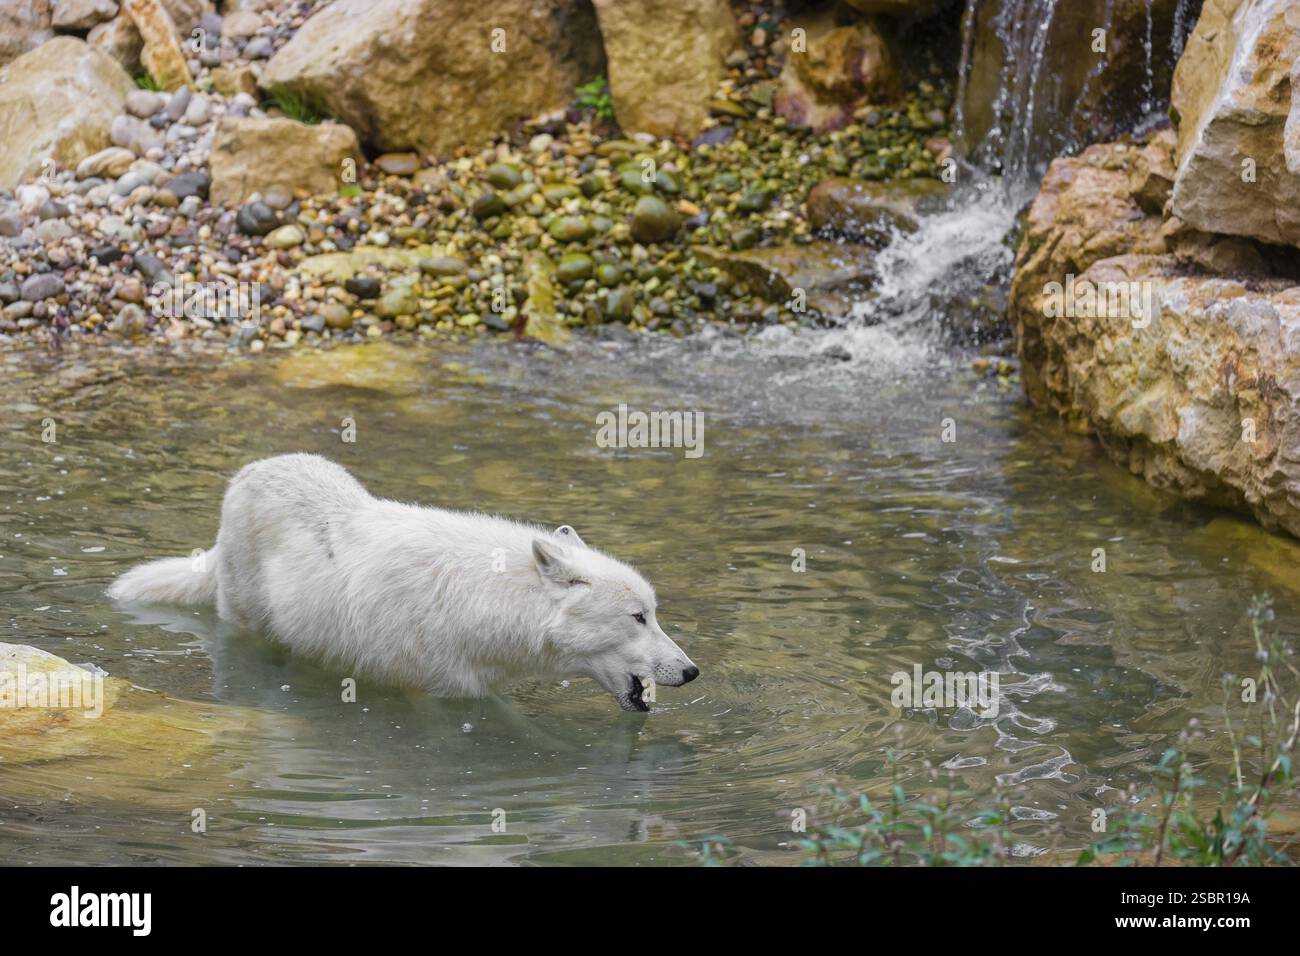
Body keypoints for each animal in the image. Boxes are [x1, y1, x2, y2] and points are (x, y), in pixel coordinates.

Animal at [106, 454, 699, 712]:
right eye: (639, 617)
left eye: (654, 614)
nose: (693, 671)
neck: (488, 605)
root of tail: (250, 470)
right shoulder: (435, 695)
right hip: (246, 620)